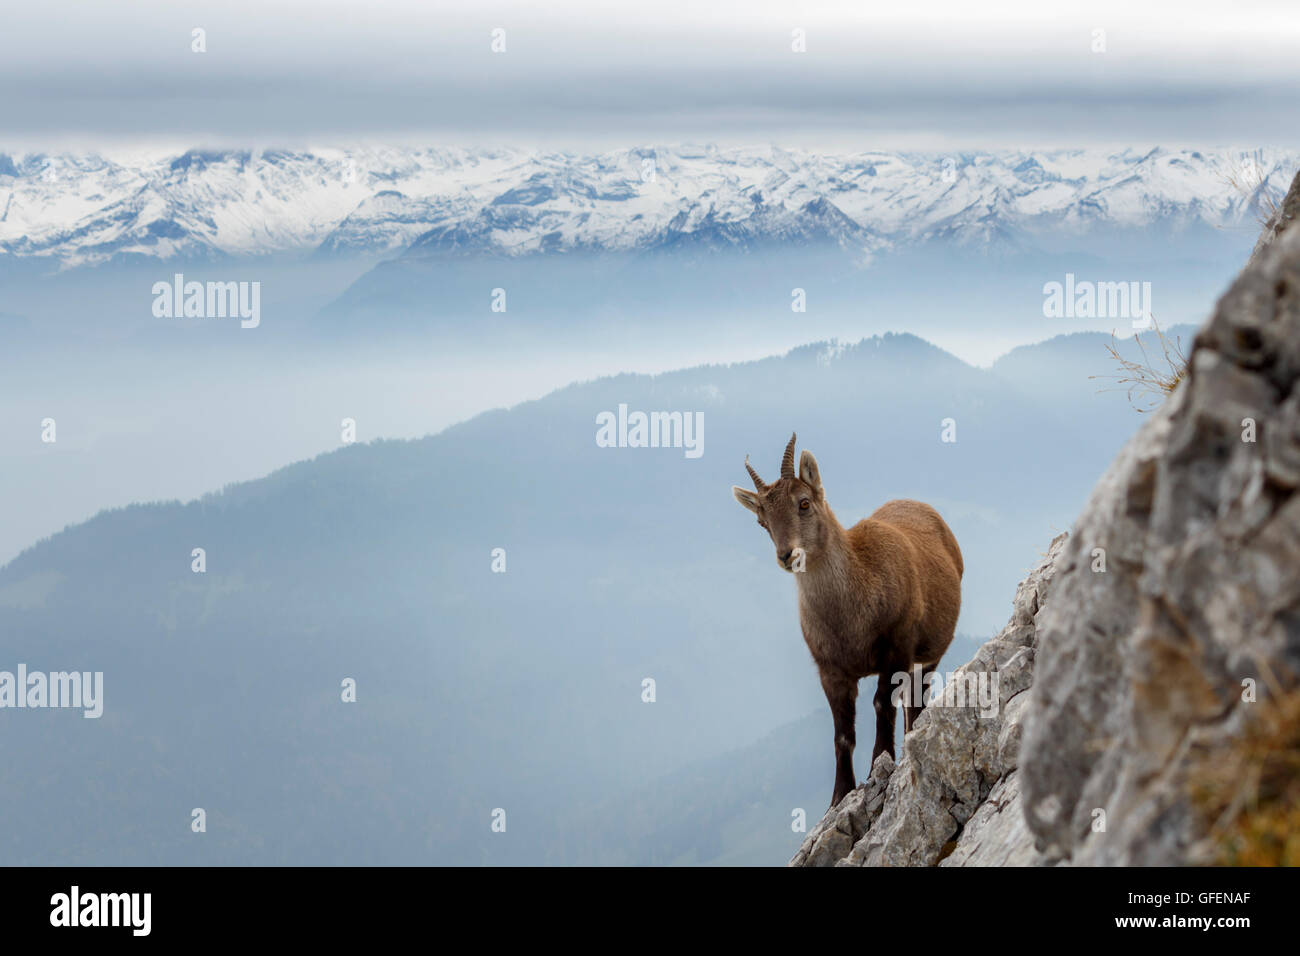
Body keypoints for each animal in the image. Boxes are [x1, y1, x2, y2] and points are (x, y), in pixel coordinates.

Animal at [732, 433, 963, 808]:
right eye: (761, 521)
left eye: (804, 503)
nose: (787, 555)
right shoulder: (830, 670)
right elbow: (842, 735)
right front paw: (839, 795)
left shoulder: (896, 649)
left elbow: (882, 704)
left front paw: (879, 765)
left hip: (927, 656)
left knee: (915, 701)